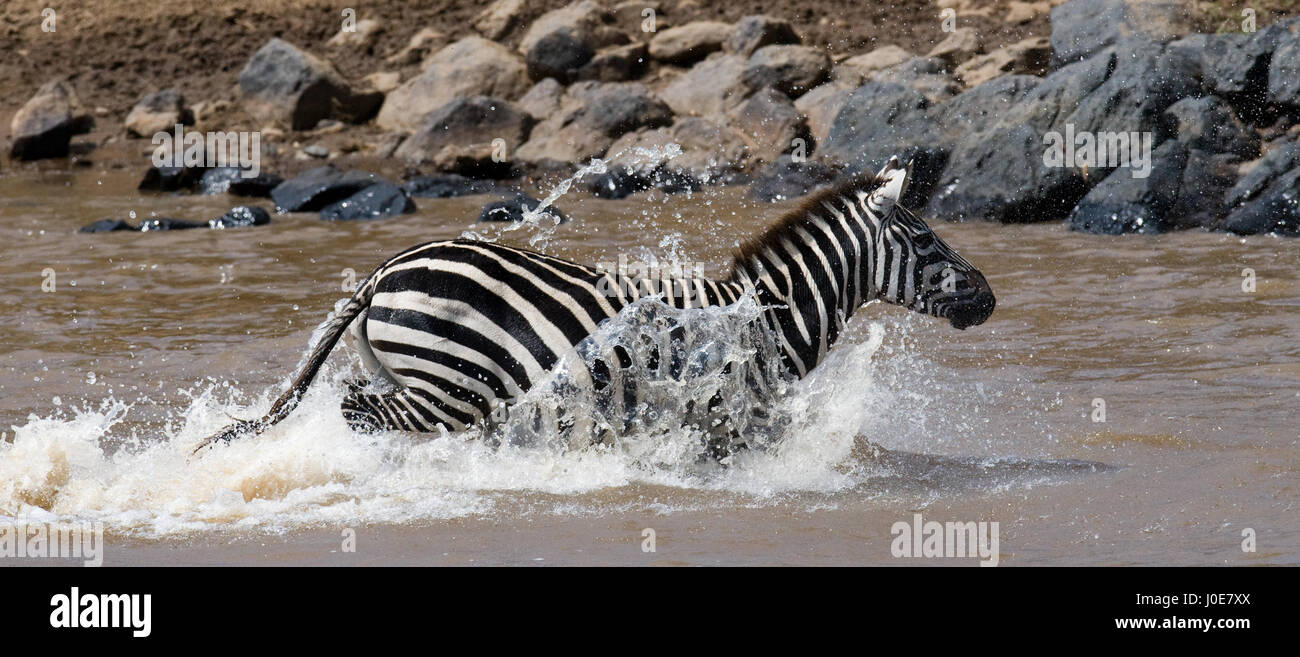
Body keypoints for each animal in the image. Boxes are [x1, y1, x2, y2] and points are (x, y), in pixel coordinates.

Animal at [194, 156, 995, 455]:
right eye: (925, 238)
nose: (989, 298)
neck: (765, 316)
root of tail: (383, 272)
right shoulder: (730, 413)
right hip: (447, 383)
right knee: (359, 411)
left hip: (419, 377)